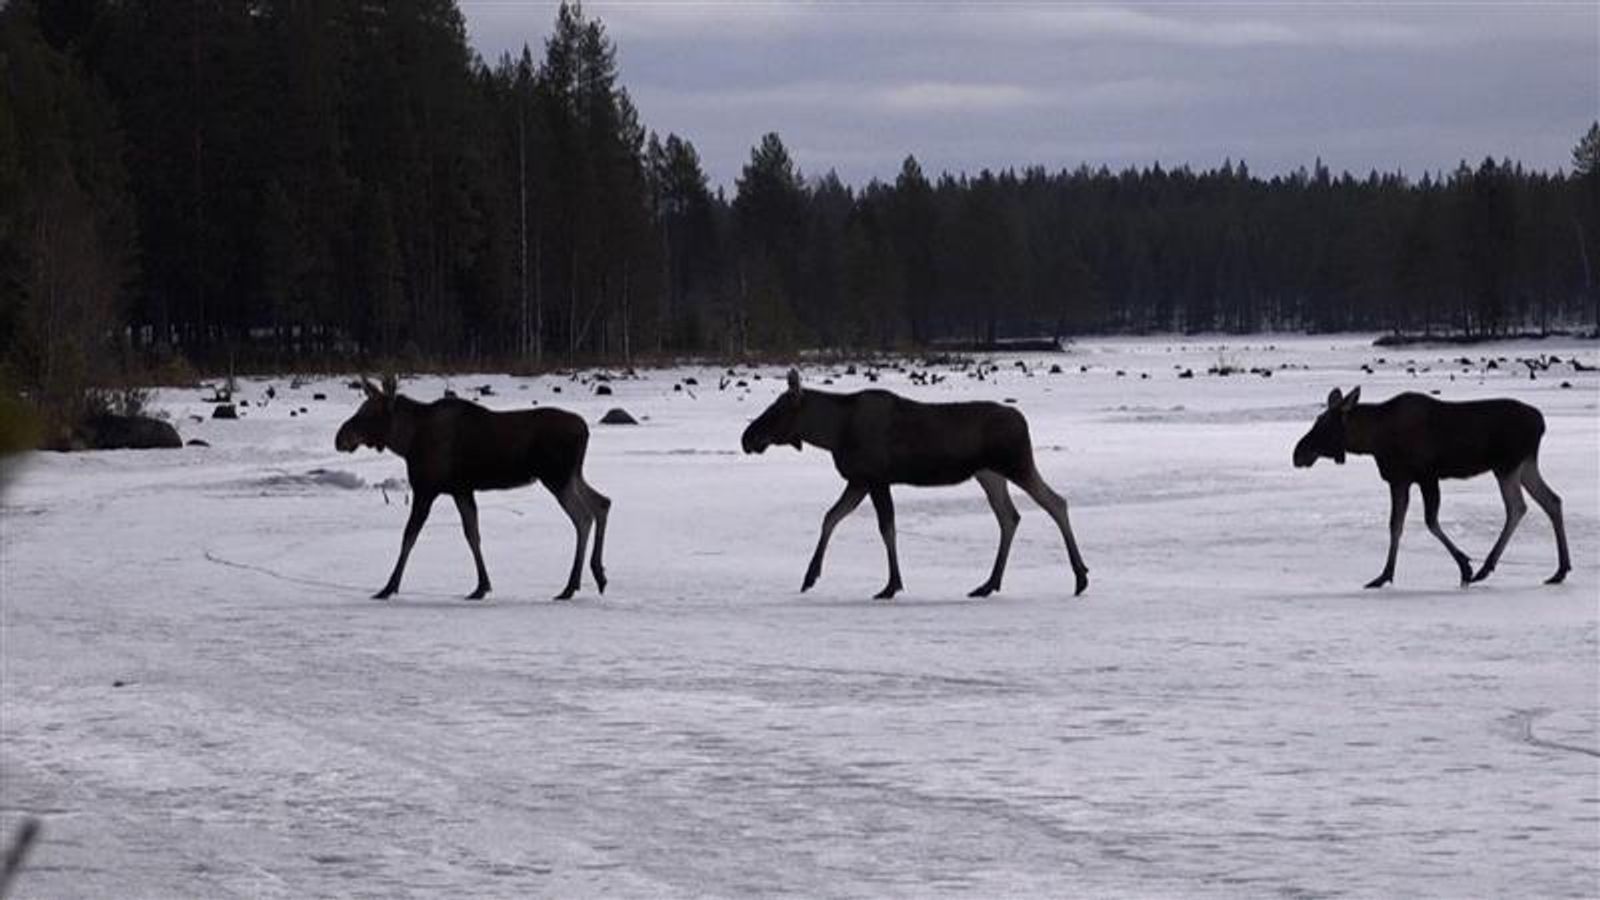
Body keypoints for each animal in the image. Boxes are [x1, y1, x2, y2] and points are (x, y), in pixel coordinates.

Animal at [335, 375, 610, 601]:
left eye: (368, 412)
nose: (340, 438)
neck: (406, 442)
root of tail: (585, 430)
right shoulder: (461, 490)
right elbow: (472, 534)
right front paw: (481, 586)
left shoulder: (426, 489)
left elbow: (409, 536)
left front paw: (388, 587)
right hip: (572, 475)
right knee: (602, 502)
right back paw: (598, 575)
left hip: (557, 477)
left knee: (583, 517)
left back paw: (570, 586)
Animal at [741, 369, 1089, 600]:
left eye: (776, 410)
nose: (747, 438)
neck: (831, 433)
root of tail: (1023, 420)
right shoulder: (860, 480)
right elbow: (831, 517)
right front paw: (810, 576)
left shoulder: (875, 478)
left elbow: (886, 528)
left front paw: (891, 585)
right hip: (989, 474)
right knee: (1010, 516)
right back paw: (988, 584)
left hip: (1016, 464)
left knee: (1055, 502)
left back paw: (1080, 576)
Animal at [1293, 387, 1570, 588]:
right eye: (1318, 420)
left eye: (1324, 424)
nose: (1297, 454)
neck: (1373, 441)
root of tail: (1542, 423)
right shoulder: (1399, 480)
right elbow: (1396, 525)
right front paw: (1384, 575)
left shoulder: (1427, 476)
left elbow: (1430, 521)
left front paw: (1465, 567)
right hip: (1524, 465)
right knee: (1552, 500)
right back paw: (1560, 570)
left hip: (1506, 465)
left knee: (1517, 507)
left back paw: (1485, 568)